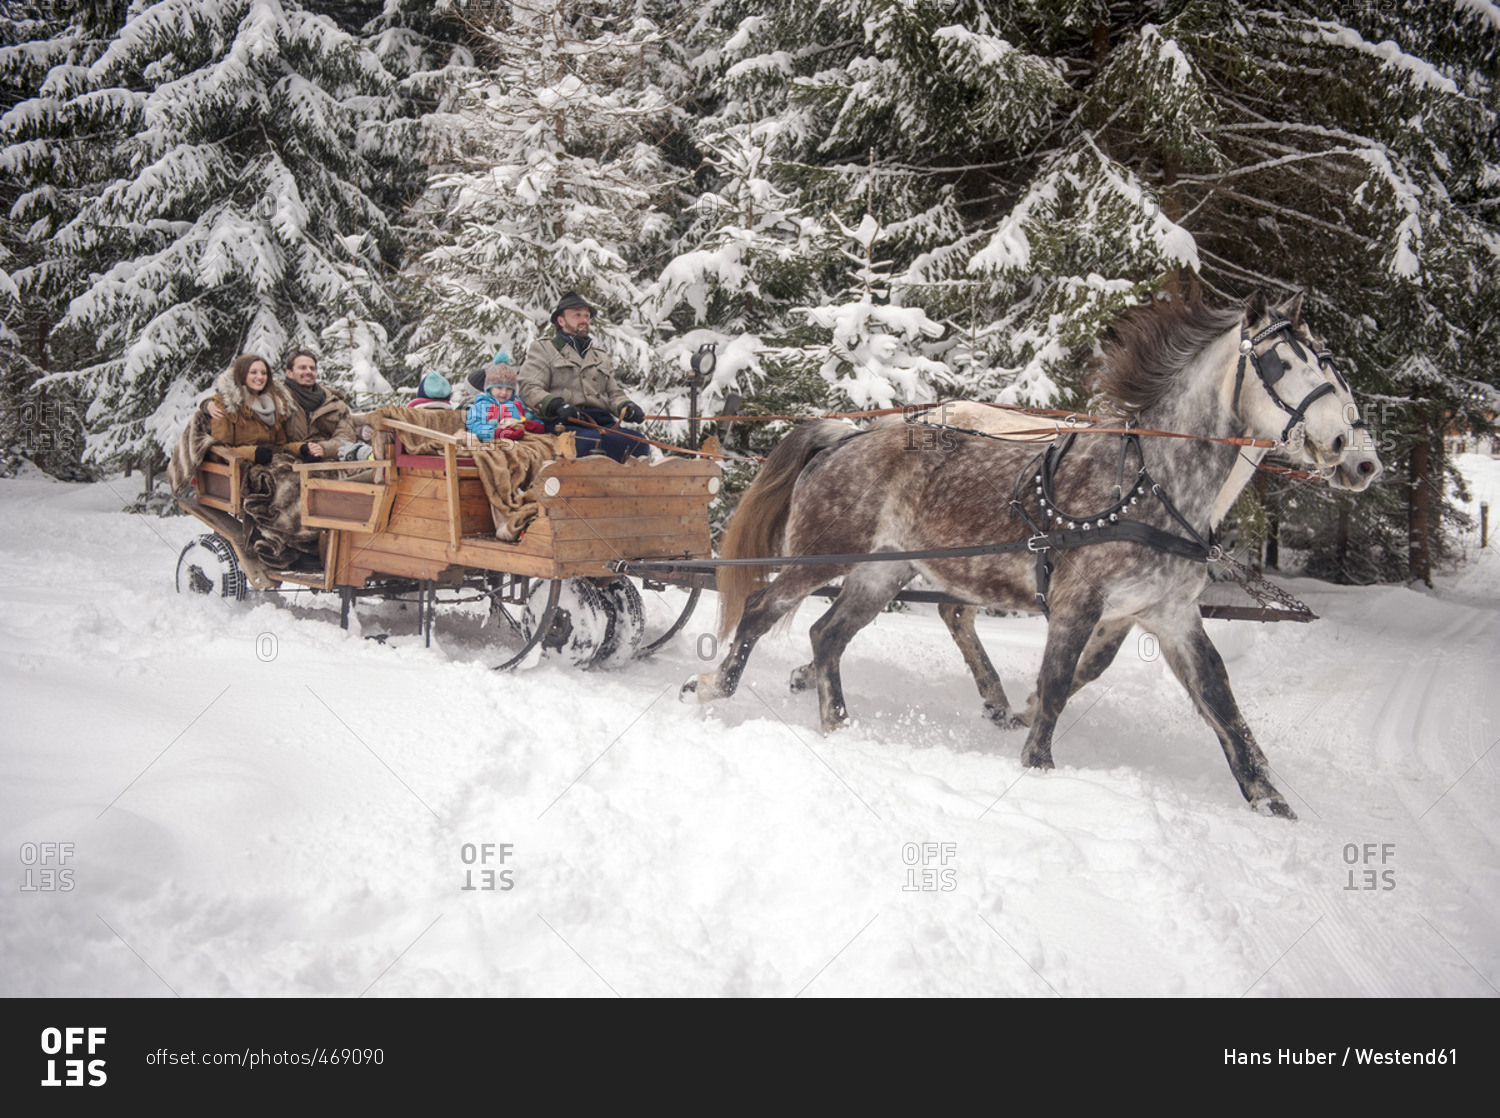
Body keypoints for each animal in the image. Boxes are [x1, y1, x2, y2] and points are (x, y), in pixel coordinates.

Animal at [683, 293, 1383, 818]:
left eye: (1327, 362)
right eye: (1281, 363)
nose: (1352, 450)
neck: (1152, 481)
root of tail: (843, 436)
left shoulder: (1170, 615)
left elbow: (1221, 702)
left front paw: (1269, 799)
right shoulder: (1078, 604)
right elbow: (1056, 685)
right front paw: (1038, 765)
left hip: (884, 574)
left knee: (828, 633)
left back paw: (838, 722)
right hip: (823, 558)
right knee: (764, 608)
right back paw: (717, 684)